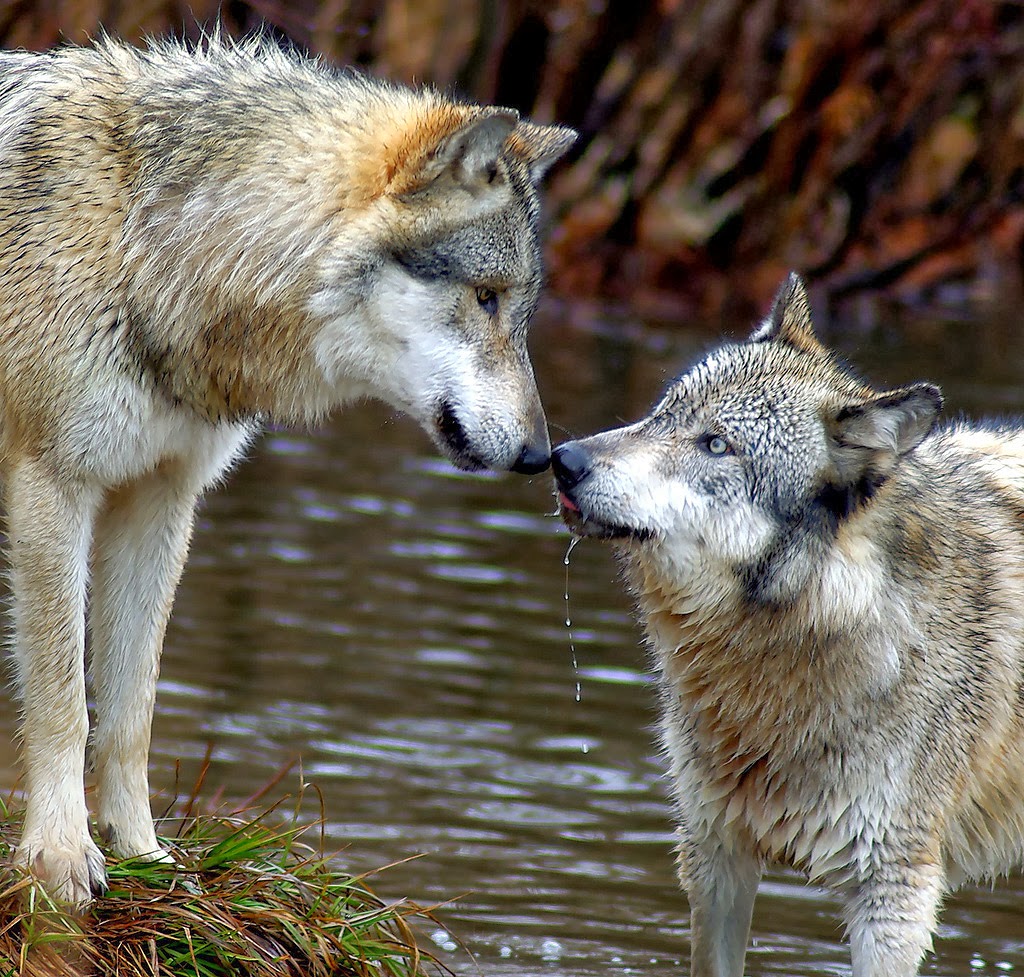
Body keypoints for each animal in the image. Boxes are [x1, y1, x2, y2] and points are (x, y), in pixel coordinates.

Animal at [0, 33, 574, 906]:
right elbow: (67, 699)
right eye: (485, 298)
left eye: (521, 309)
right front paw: (61, 858)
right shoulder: (52, 486)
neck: (150, 238)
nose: (542, 455)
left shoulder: (161, 498)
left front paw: (144, 854)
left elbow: (132, 709)